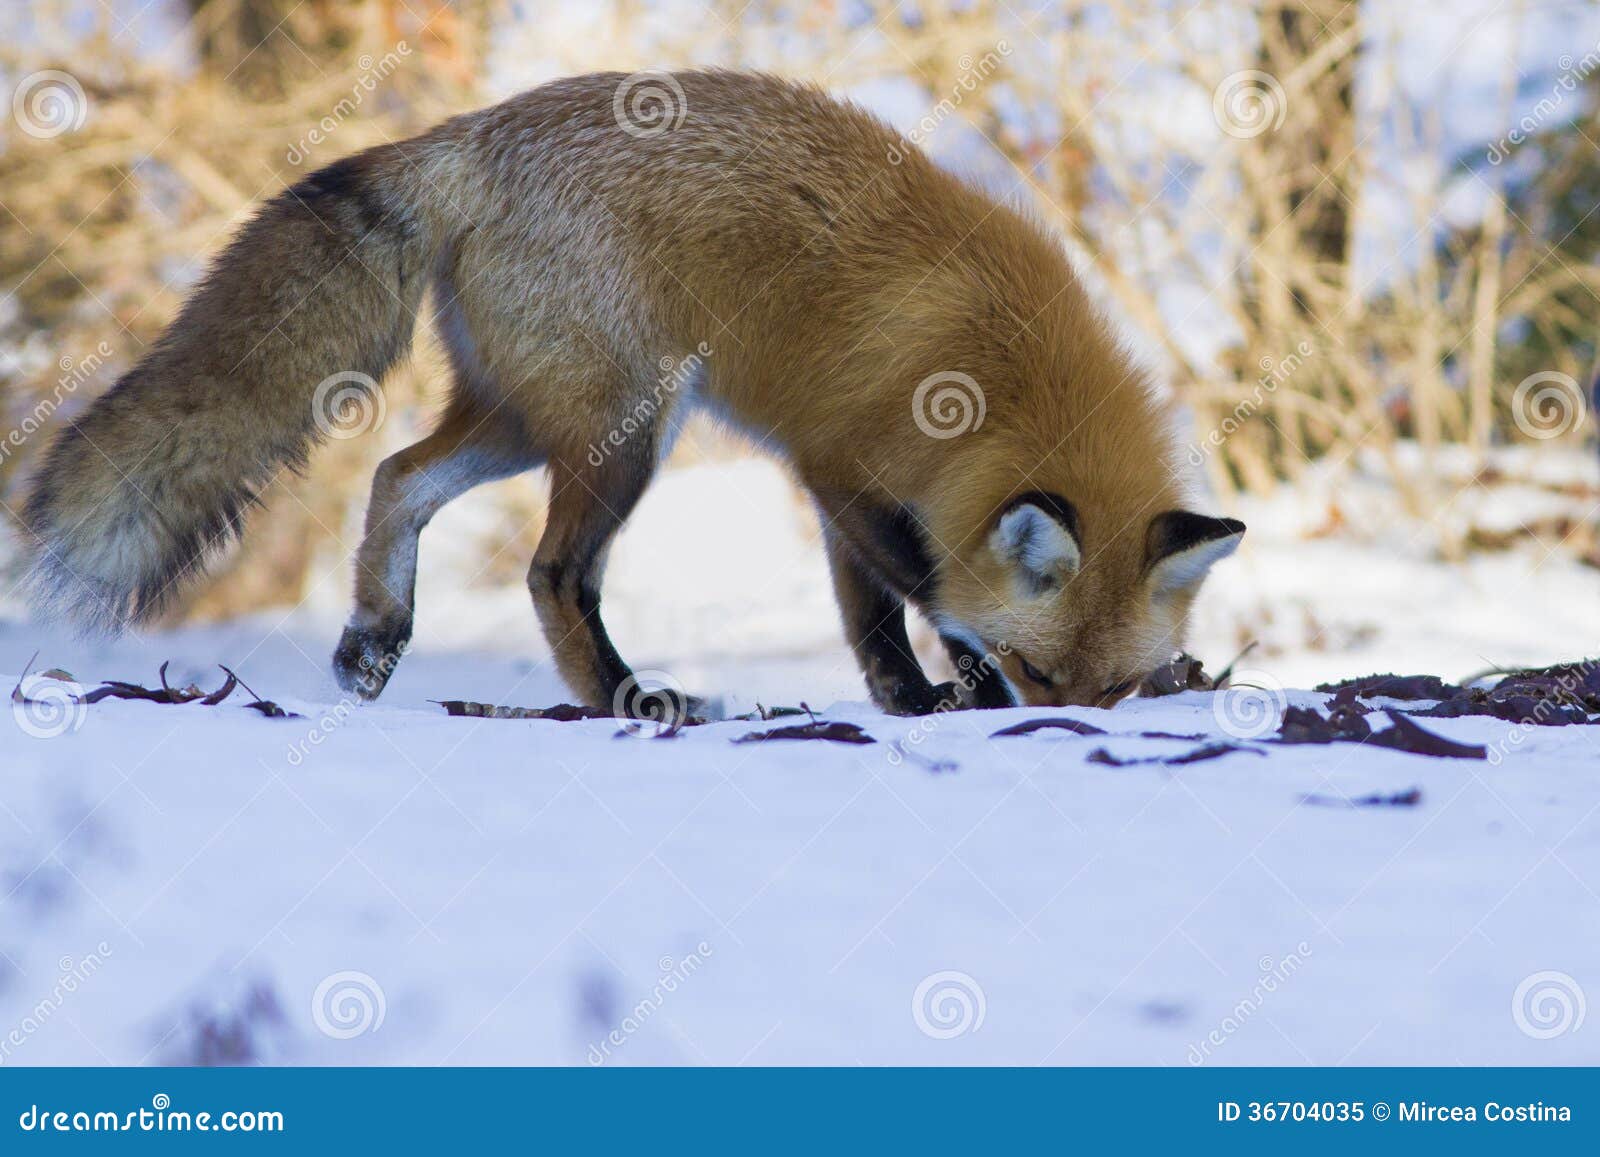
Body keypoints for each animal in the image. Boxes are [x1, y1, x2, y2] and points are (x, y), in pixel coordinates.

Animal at [19, 69, 1244, 717]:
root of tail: (471, 136)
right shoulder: (842, 470)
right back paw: (626, 696)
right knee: (552, 572)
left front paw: (915, 702)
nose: (1058, 736)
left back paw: (373, 637)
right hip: (624, 431)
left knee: (396, 476)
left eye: (1116, 690)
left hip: (529, 420)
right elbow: (918, 600)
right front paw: (957, 698)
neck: (1002, 366)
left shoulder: (851, 490)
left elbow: (876, 620)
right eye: (1041, 670)